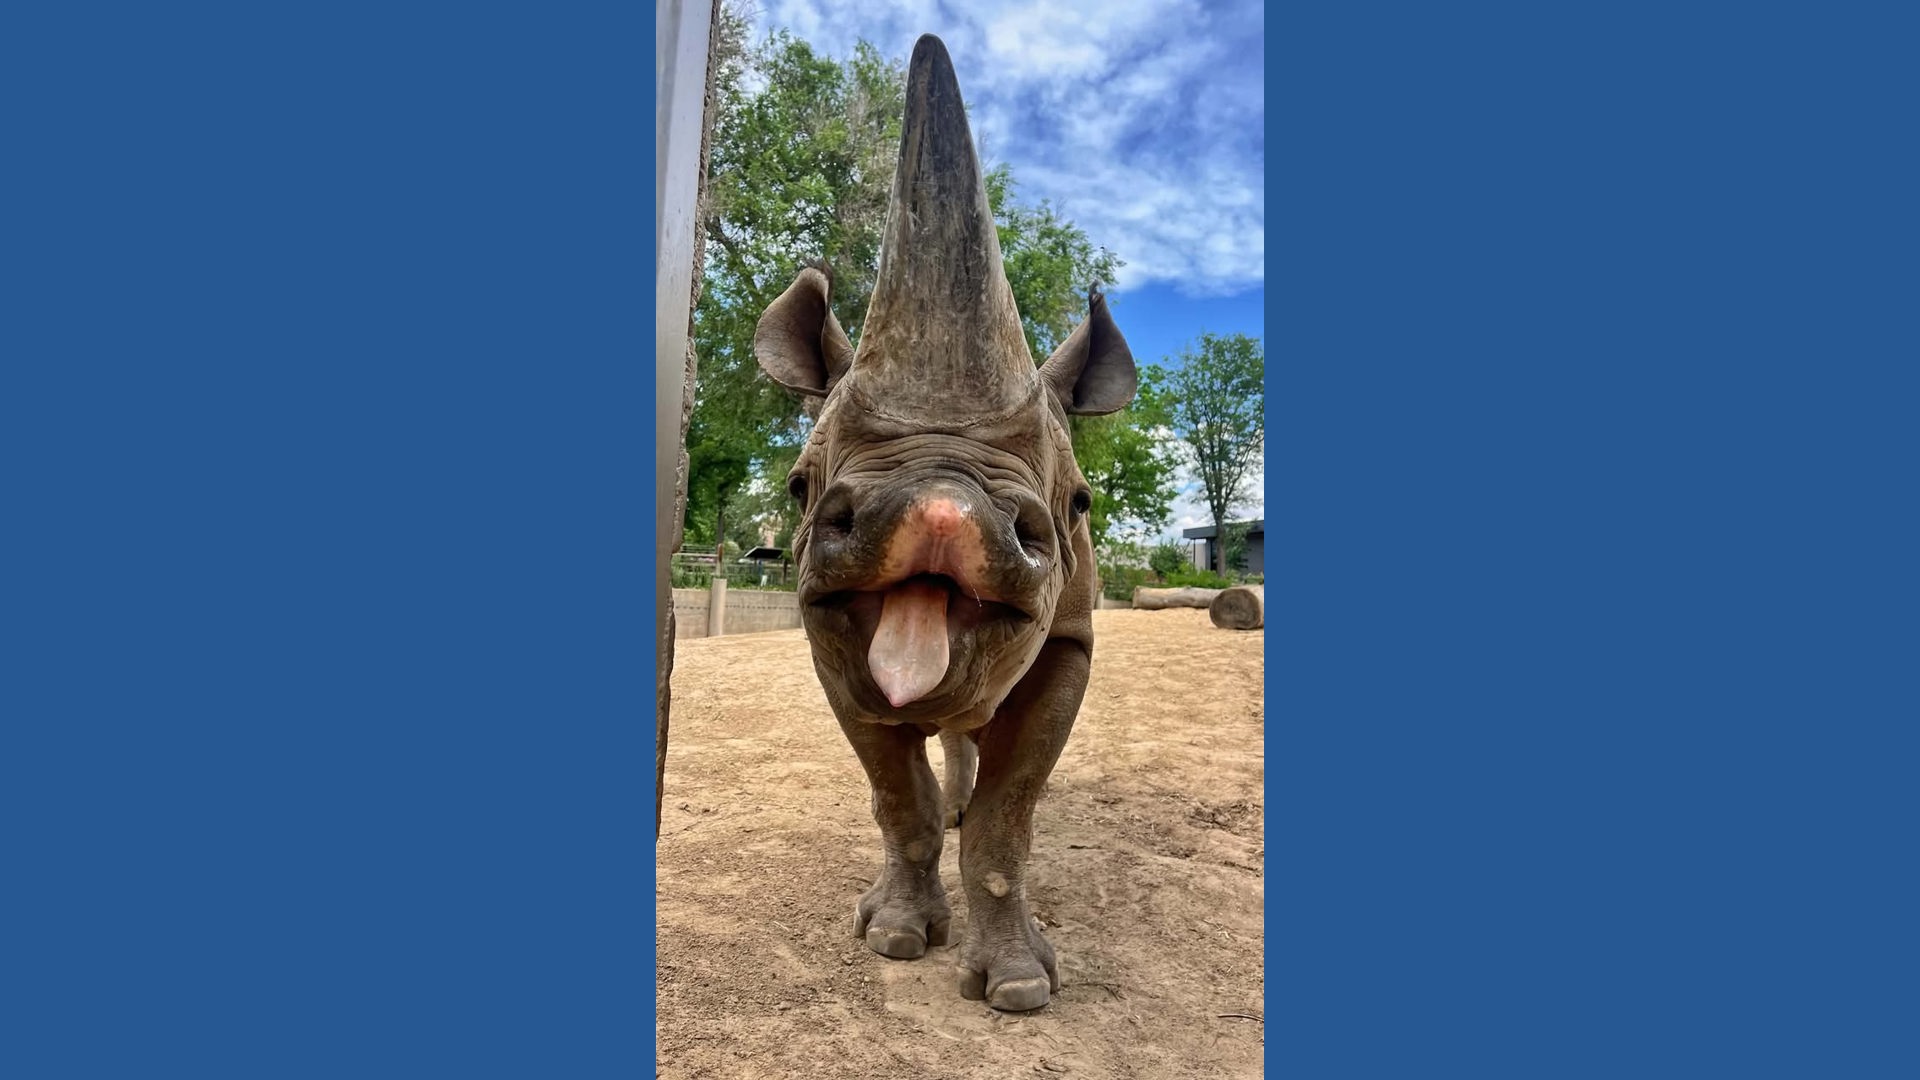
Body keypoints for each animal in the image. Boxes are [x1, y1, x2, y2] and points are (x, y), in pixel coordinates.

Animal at [751, 35, 1137, 1012]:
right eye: (800, 486)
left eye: (1079, 505)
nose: (938, 515)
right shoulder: (831, 648)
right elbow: (900, 799)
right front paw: (893, 936)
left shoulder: (1070, 636)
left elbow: (1008, 818)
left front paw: (1018, 987)